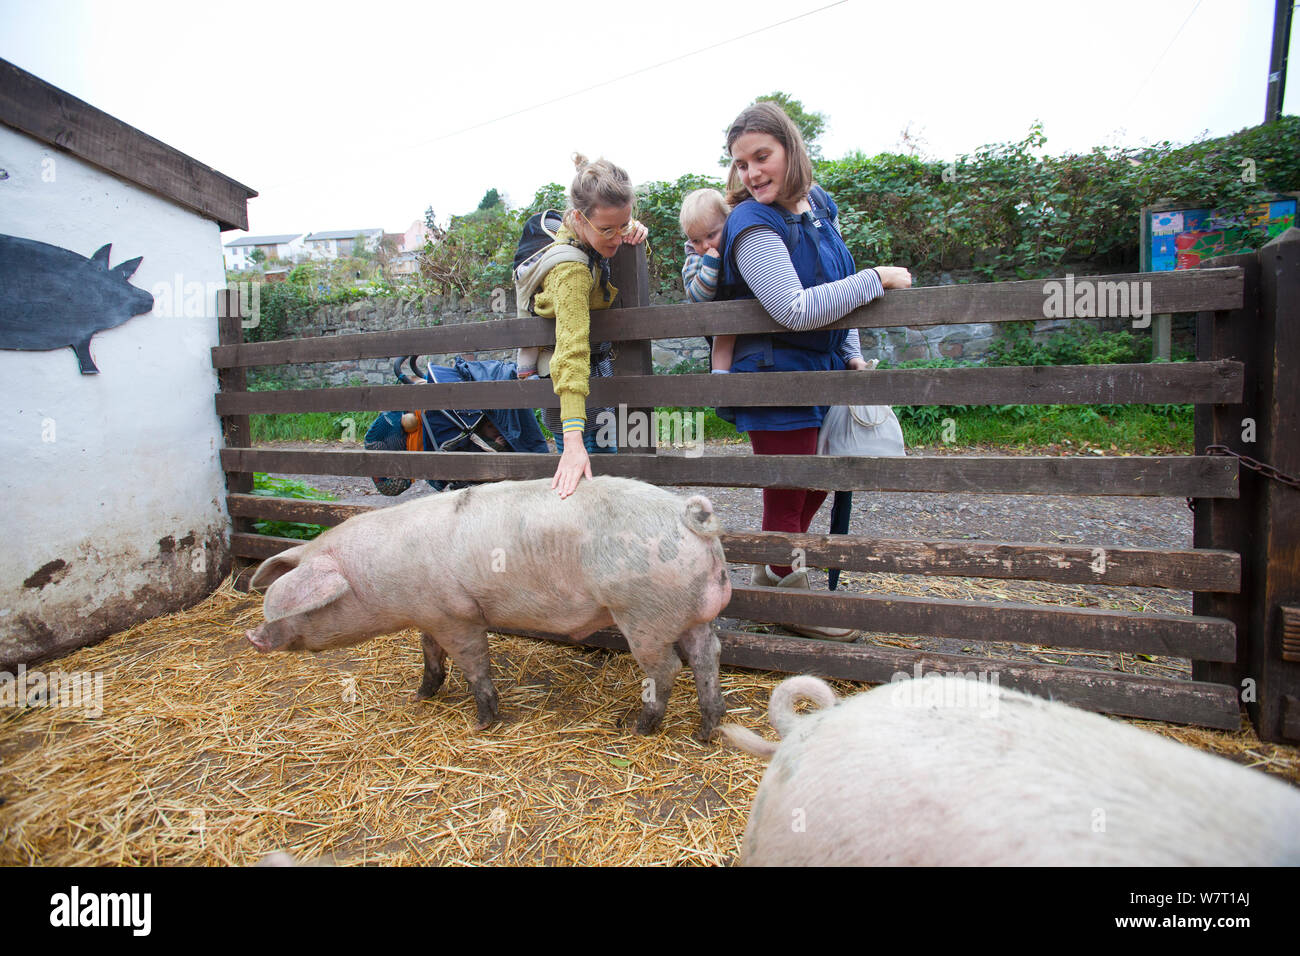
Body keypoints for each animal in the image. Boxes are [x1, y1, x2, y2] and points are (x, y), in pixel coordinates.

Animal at [246, 476, 731, 740]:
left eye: (298, 608)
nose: (253, 637)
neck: (378, 575)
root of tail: (688, 517)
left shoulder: (457, 616)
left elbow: (474, 665)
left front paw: (481, 724)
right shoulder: (429, 615)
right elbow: (430, 657)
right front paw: (420, 697)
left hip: (641, 613)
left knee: (666, 668)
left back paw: (635, 727)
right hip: (694, 613)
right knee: (708, 657)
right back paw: (706, 732)